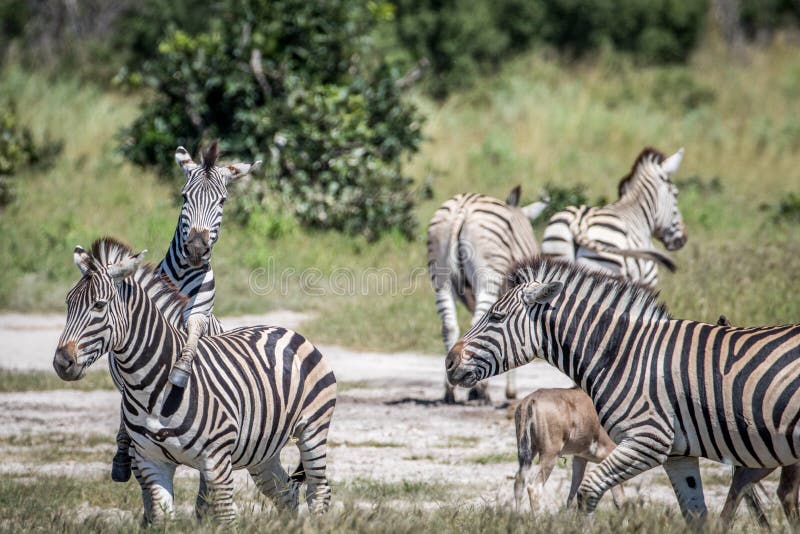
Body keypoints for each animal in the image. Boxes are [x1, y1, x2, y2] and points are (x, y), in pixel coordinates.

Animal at [53, 238, 336, 523]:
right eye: (67, 303)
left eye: (99, 305)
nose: (62, 362)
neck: (150, 388)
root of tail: (285, 330)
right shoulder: (151, 462)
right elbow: (162, 517)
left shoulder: (216, 462)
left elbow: (224, 517)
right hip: (262, 450)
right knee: (286, 492)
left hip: (312, 429)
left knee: (318, 491)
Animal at [110, 141, 260, 482]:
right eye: (184, 197)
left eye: (222, 201)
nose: (195, 249)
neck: (182, 276)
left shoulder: (199, 316)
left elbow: (191, 337)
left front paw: (179, 370)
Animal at [427, 186, 547, 403]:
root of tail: (462, 208)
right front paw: (509, 391)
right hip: (488, 274)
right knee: (475, 322)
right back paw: (483, 391)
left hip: (441, 278)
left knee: (449, 326)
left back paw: (450, 391)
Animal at [445, 257, 800, 522]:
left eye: (496, 317)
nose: (449, 361)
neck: (625, 353)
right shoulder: (677, 453)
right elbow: (695, 514)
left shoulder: (647, 439)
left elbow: (589, 493)